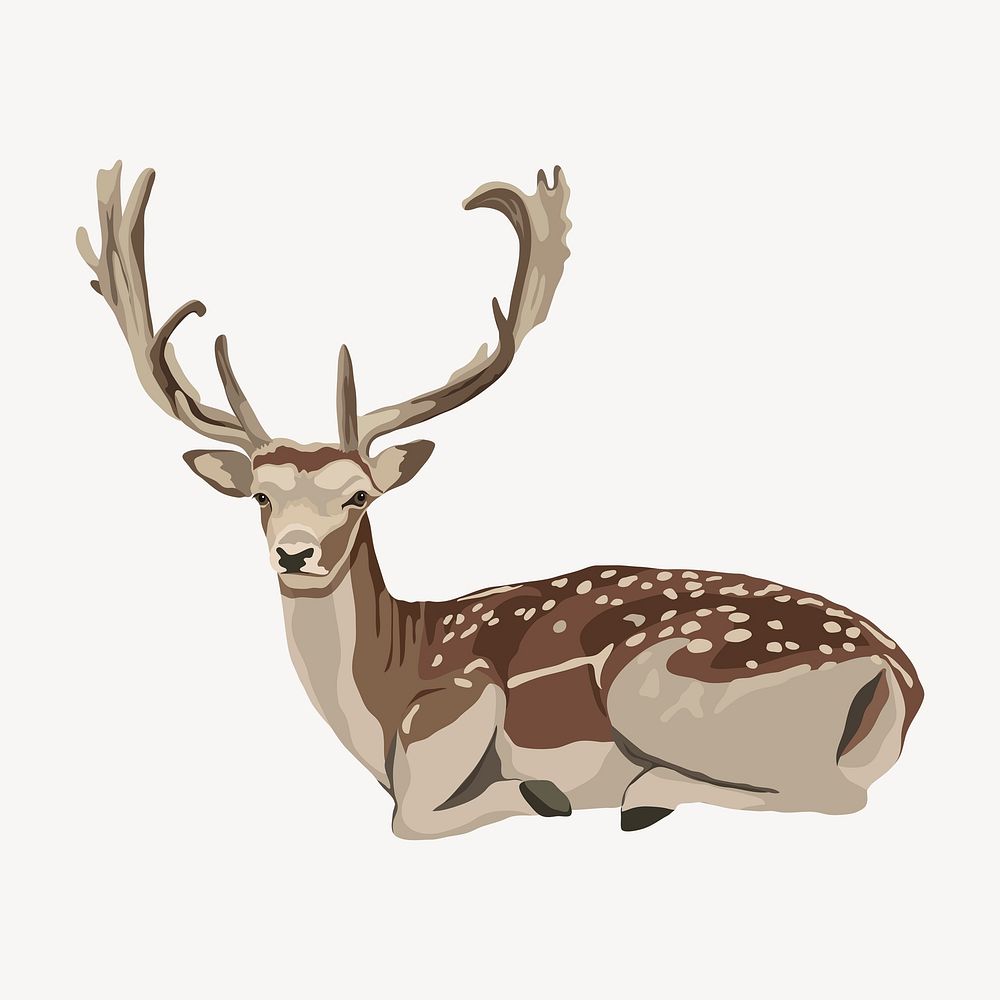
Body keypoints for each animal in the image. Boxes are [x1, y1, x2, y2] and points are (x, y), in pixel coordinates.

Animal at [77, 161, 923, 839]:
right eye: (259, 494)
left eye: (359, 497)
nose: (295, 553)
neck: (382, 700)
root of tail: (902, 679)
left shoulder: (457, 712)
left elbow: (410, 816)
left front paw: (544, 794)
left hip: (657, 684)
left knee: (834, 795)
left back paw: (640, 795)